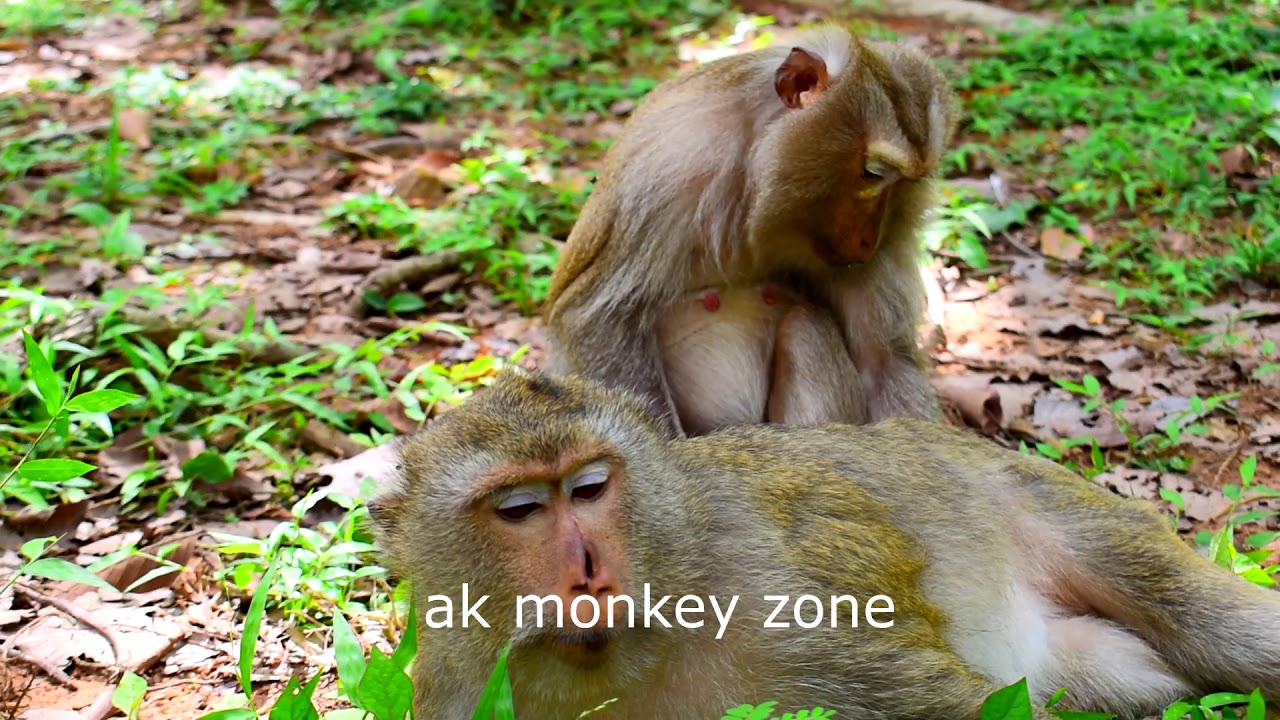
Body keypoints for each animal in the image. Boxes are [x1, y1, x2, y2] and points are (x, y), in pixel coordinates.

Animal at [367, 369, 1280, 720]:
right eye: (520, 508)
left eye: (589, 489)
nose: (589, 571)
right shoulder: (456, 683)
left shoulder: (786, 601)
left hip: (1038, 497)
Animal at [541, 24, 959, 437]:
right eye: (873, 174)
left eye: (904, 184)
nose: (867, 242)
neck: (755, 177)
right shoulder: (671, 168)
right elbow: (598, 316)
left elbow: (883, 361)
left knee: (806, 328)